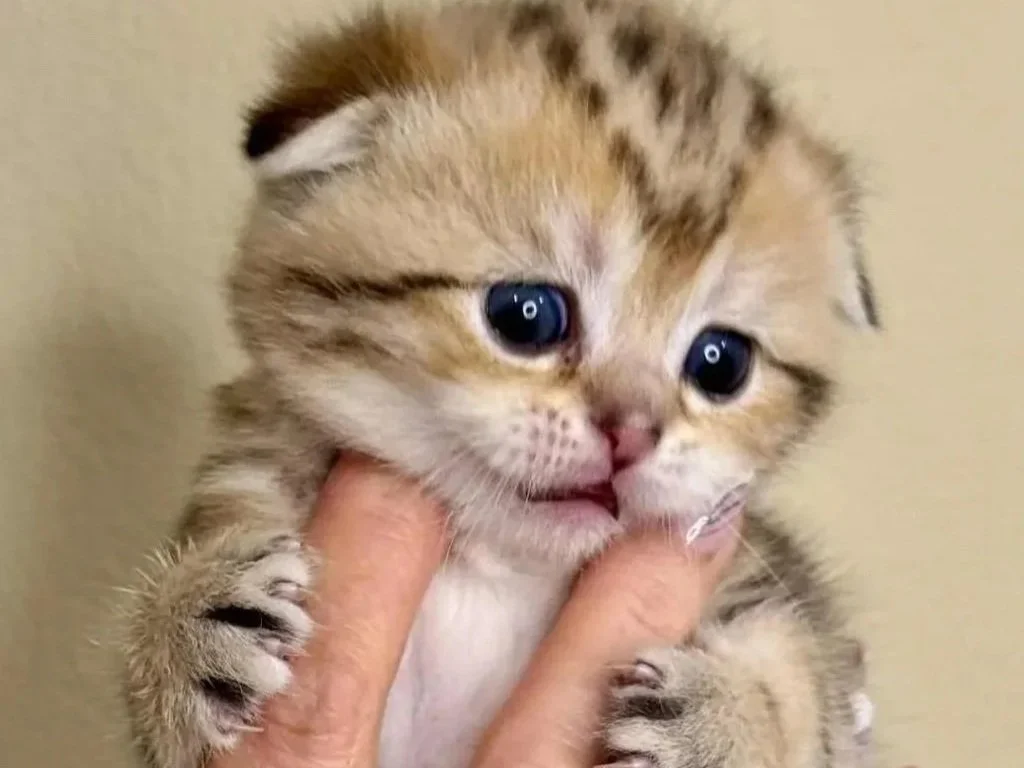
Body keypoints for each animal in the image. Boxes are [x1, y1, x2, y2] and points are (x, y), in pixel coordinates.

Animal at [121, 1, 880, 767]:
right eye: (526, 314)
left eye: (720, 363)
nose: (631, 435)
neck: (495, 567)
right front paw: (182, 620)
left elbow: (815, 697)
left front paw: (728, 720)